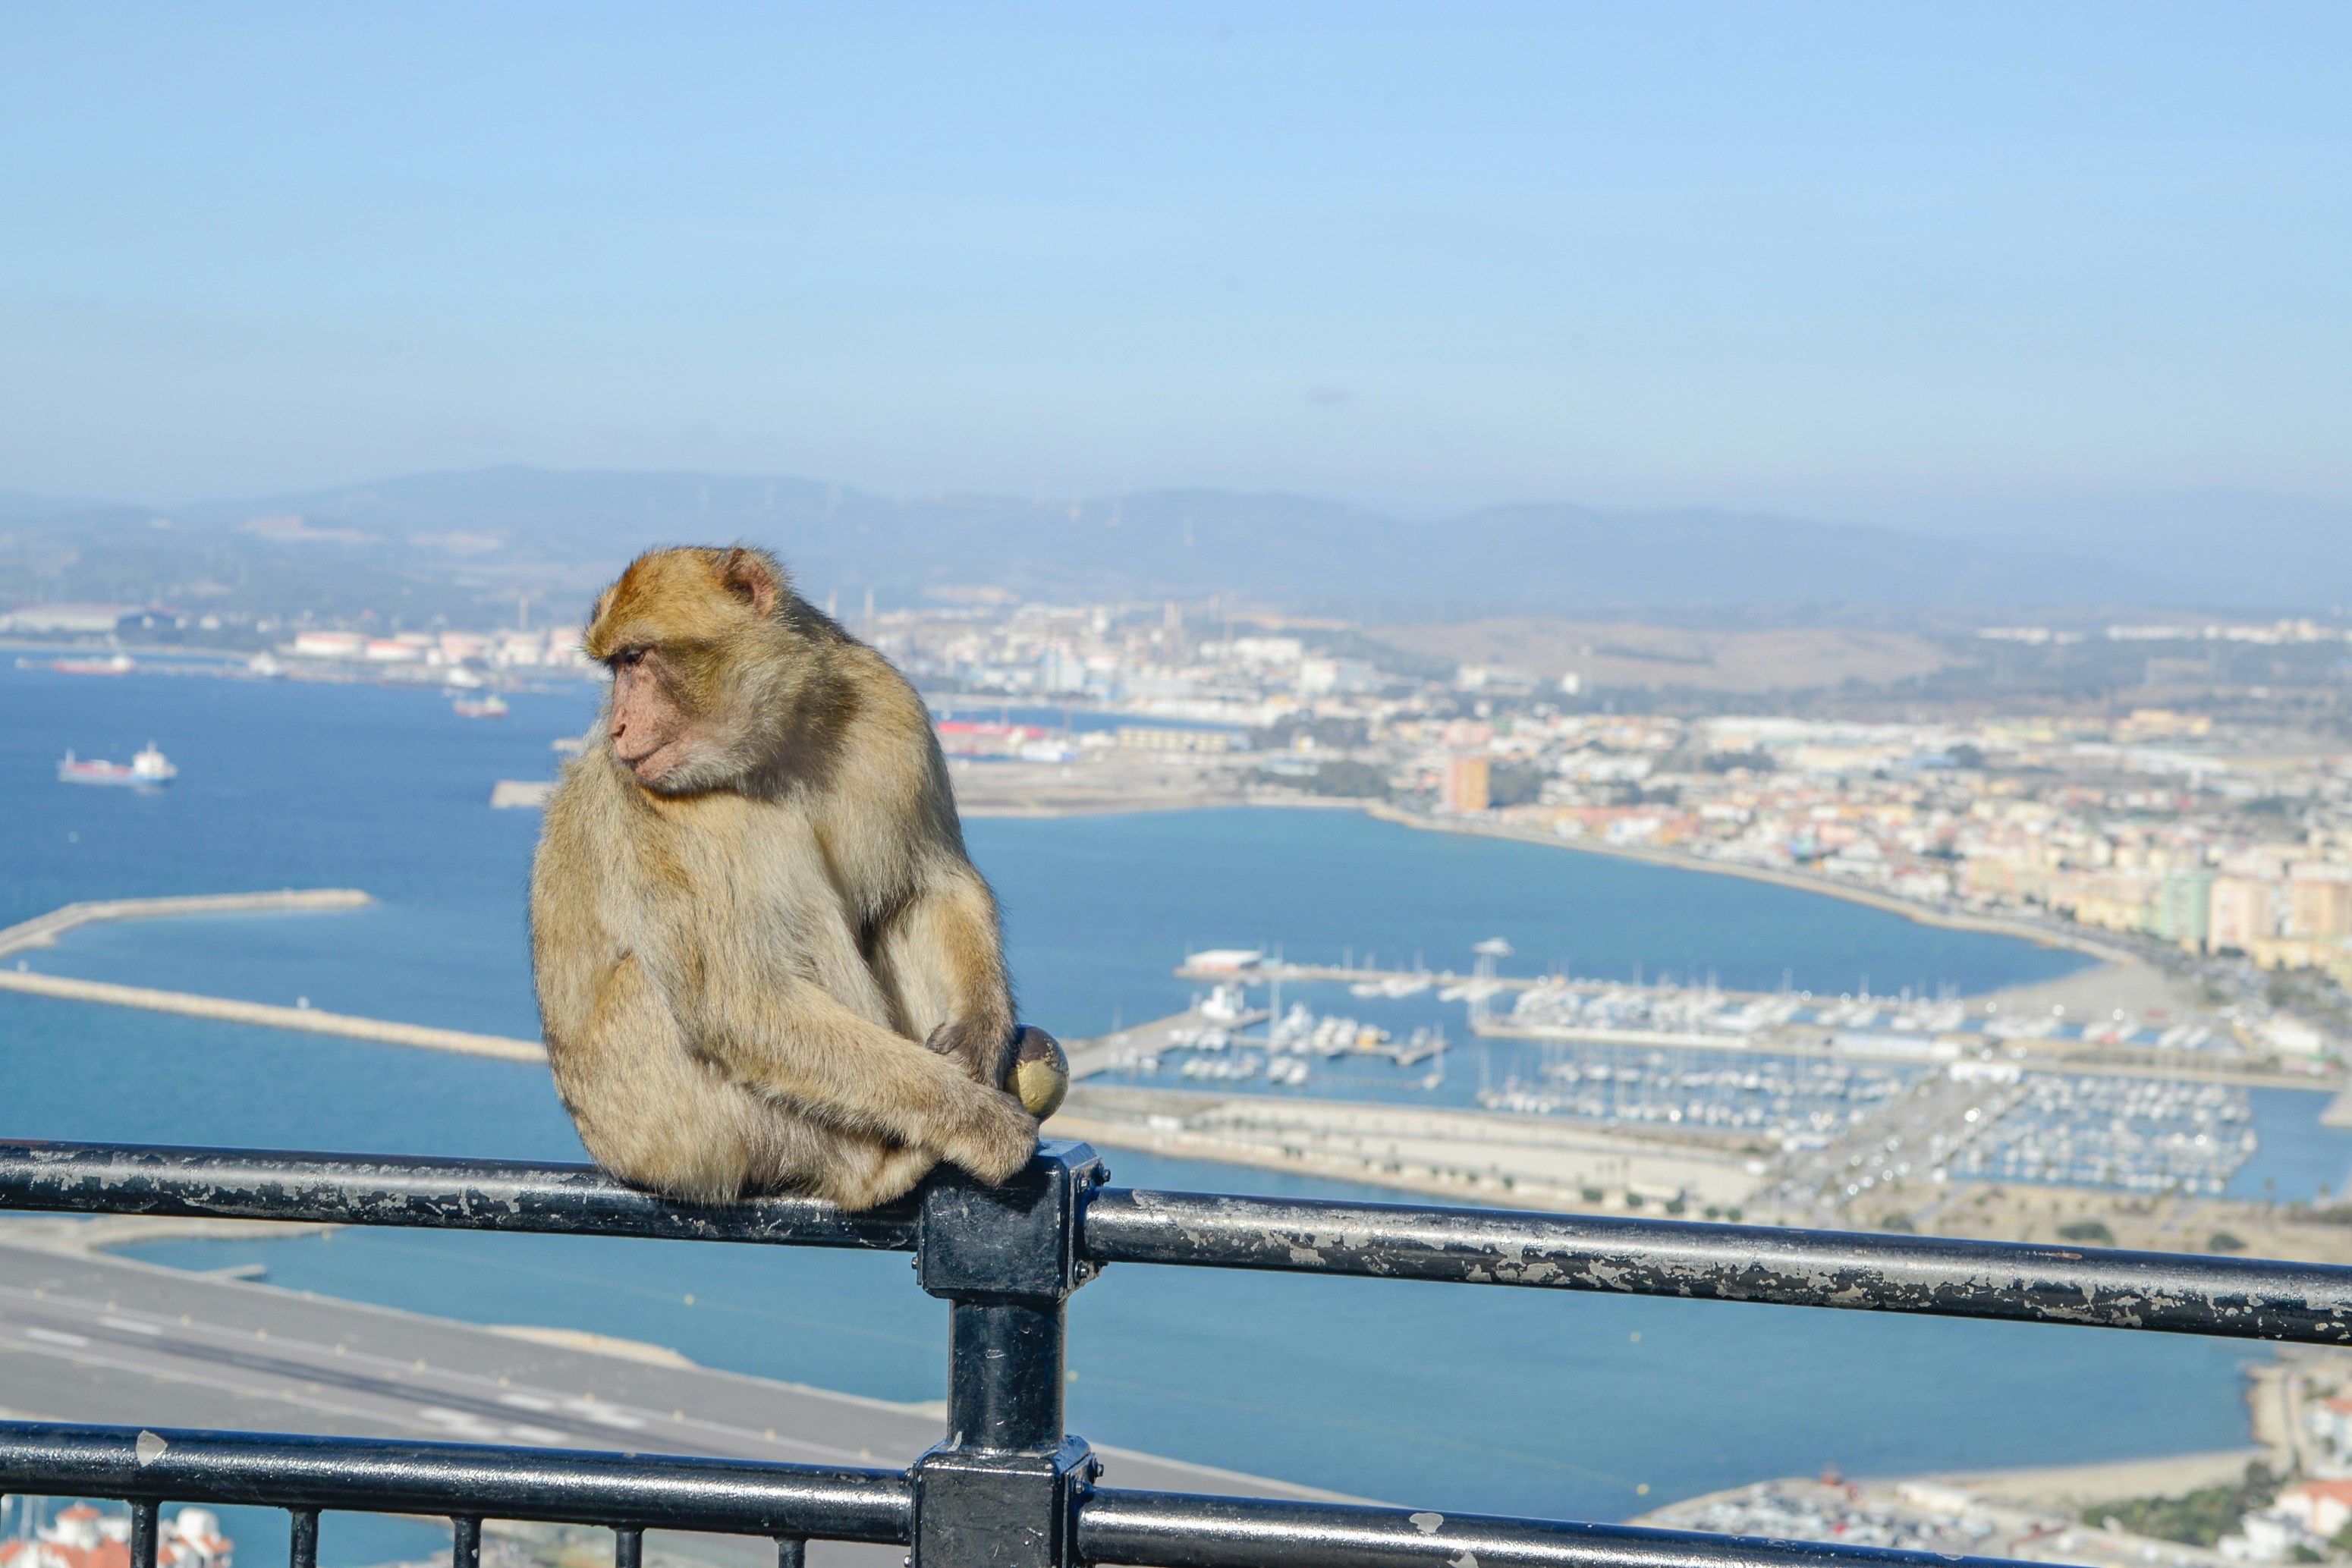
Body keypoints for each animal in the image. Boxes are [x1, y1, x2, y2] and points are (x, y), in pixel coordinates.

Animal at [529, 544, 1068, 1211]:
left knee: (889, 913)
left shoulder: (892, 711)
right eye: (617, 667)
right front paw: (976, 1119)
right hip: (670, 1130)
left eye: (635, 659)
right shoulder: (673, 809)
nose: (617, 727)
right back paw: (883, 1166)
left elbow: (929, 884)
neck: (776, 747)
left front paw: (982, 1030)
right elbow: (745, 1004)